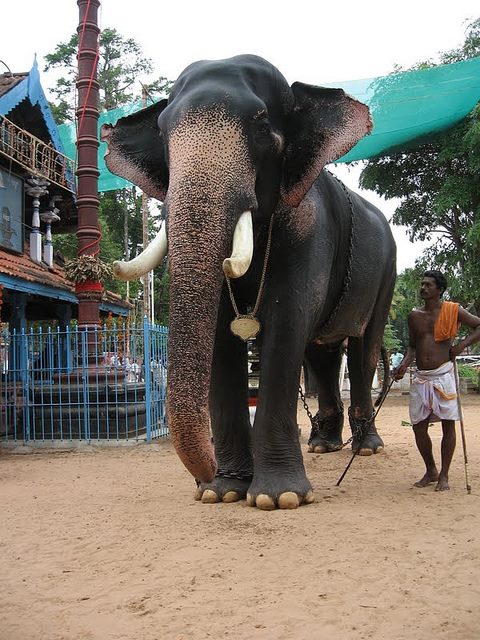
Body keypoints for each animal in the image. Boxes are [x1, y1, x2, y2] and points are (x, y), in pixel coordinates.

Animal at [101, 54, 396, 510]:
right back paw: (323, 446)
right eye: (163, 134)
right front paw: (222, 492)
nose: (203, 475)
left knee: (362, 350)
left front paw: (279, 497)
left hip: (386, 274)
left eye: (261, 129)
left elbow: (286, 325)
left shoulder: (309, 232)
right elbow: (223, 341)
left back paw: (366, 448)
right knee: (322, 352)